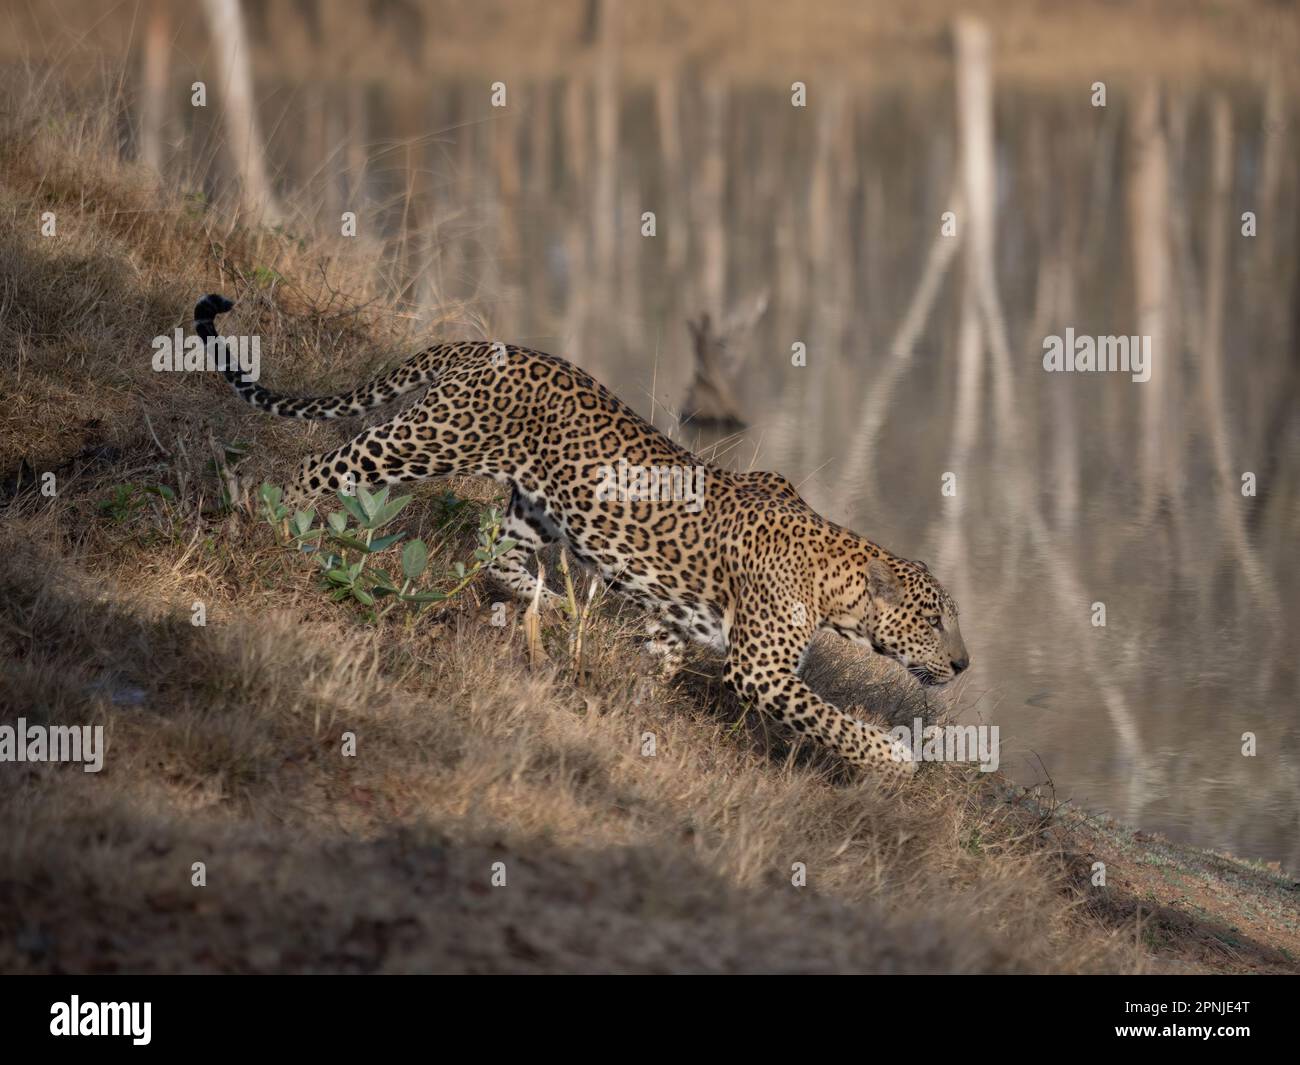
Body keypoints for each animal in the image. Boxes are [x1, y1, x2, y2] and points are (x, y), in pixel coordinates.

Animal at [196, 294, 970, 777]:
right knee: (325, 465)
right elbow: (831, 718)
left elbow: (658, 663)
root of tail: (494, 346)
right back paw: (273, 518)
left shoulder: (675, 617)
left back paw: (553, 610)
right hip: (428, 440)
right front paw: (895, 759)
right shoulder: (761, 669)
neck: (838, 582)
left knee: (498, 556)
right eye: (934, 620)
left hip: (532, 506)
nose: (964, 666)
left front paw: (639, 706)